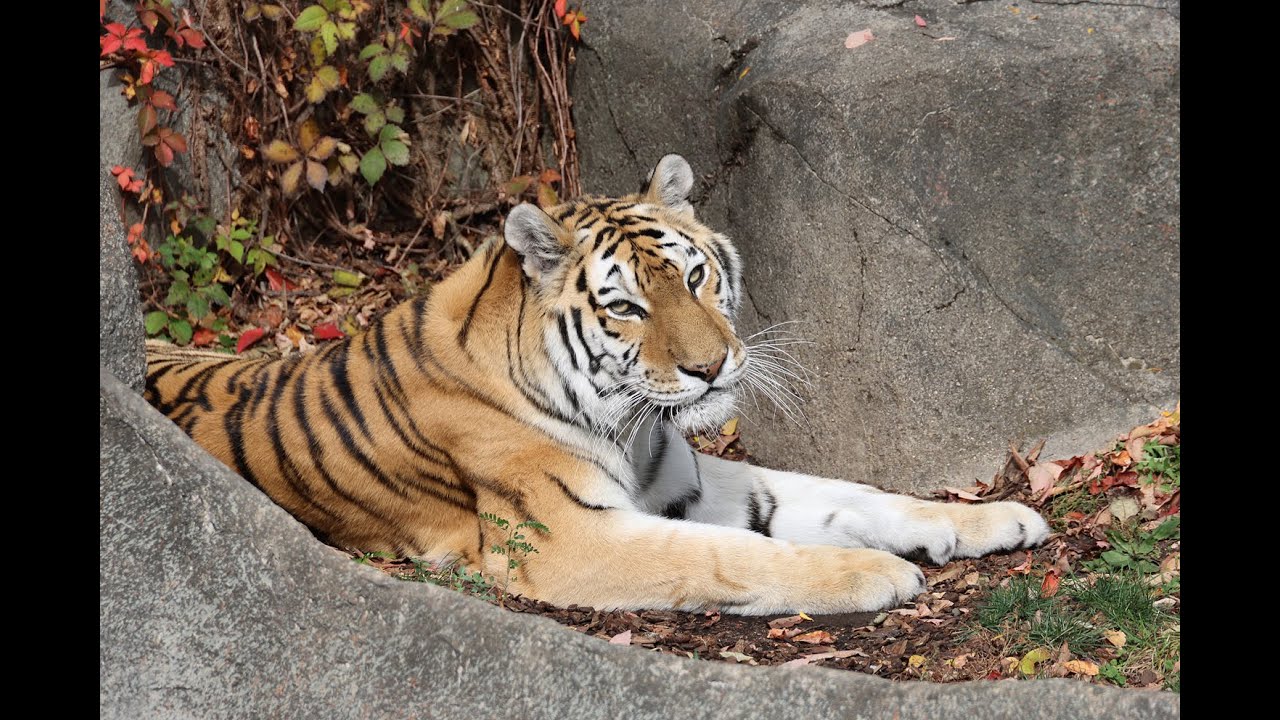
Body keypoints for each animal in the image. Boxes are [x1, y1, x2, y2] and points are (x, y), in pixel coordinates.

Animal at [145, 154, 1049, 614]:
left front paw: (992, 519)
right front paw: (872, 573)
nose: (711, 367)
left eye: (695, 277)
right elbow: (735, 554)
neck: (630, 419)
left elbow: (843, 495)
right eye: (624, 307)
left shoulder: (688, 481)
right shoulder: (566, 539)